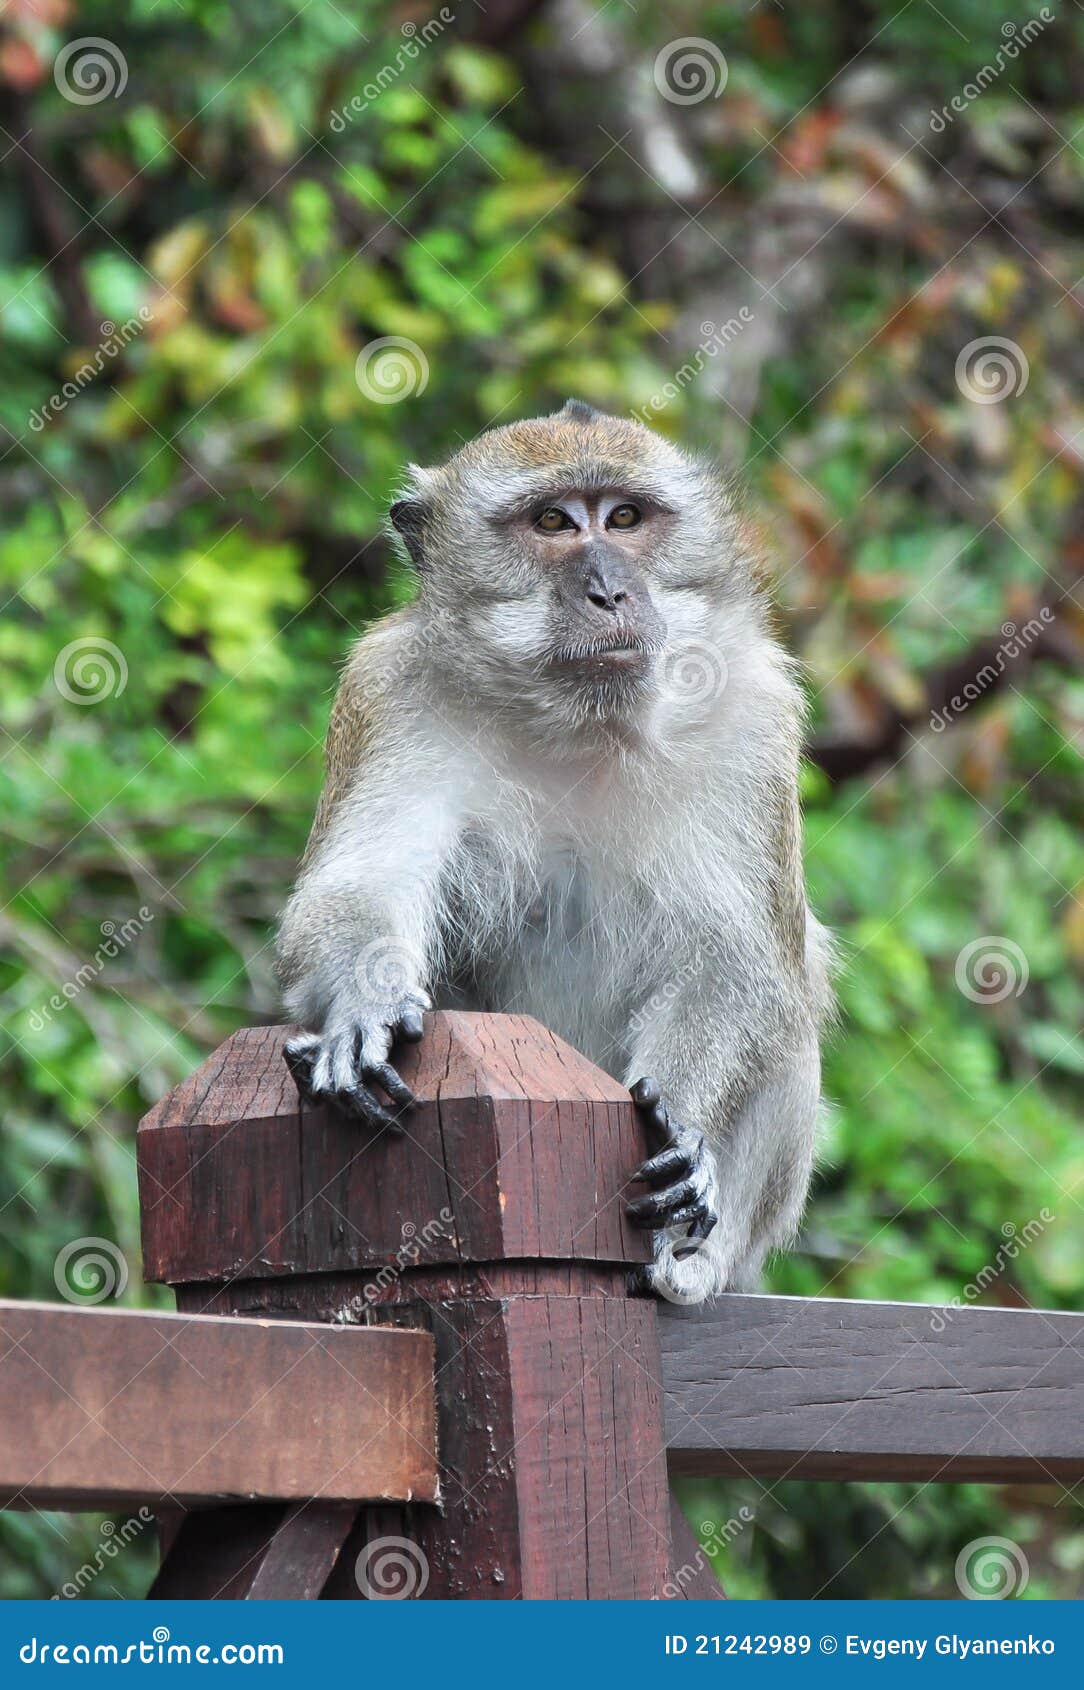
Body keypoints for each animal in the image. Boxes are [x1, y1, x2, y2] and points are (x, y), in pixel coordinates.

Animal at [276, 398, 834, 1303]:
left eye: (625, 518)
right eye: (552, 523)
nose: (609, 589)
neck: (578, 722)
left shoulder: (755, 713)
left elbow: (742, 960)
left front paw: (684, 1136)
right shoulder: (387, 690)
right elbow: (357, 887)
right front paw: (364, 1009)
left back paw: (694, 1261)